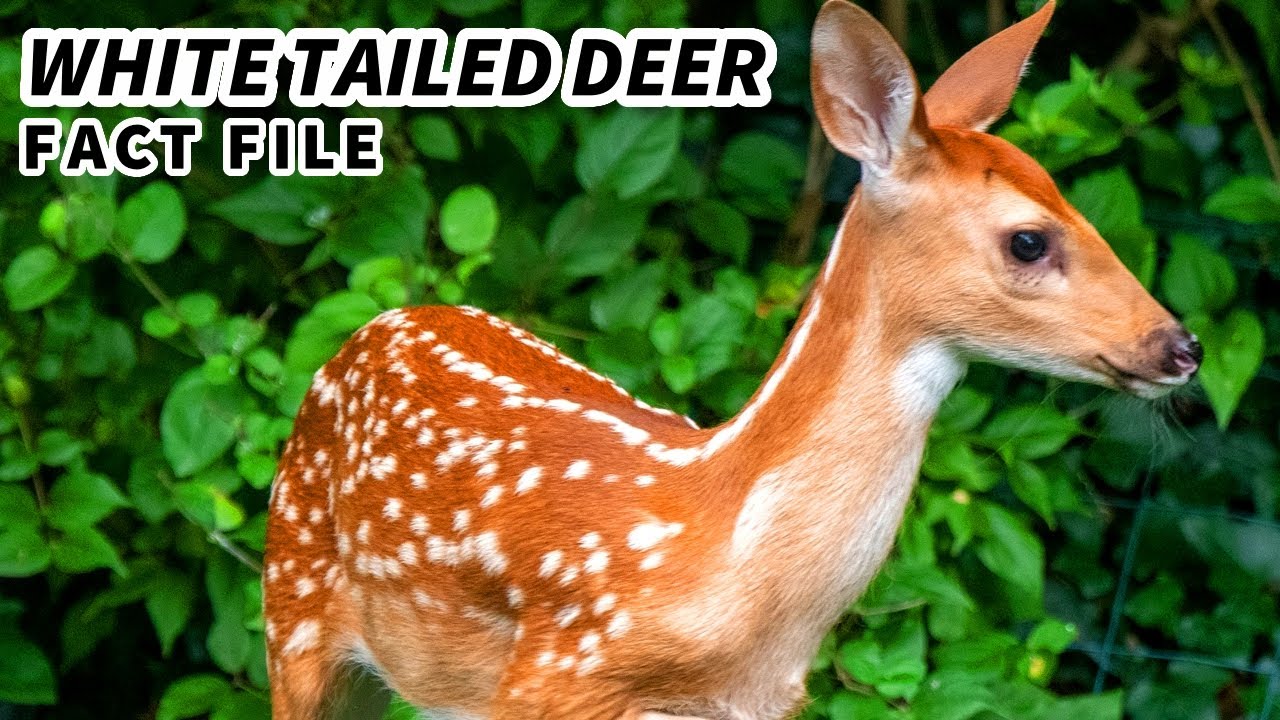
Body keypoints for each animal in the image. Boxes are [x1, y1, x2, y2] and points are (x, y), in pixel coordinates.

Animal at [263, 1, 1203, 718]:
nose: (1180, 346)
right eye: (1029, 239)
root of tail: (379, 322)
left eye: (1071, 198)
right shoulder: (550, 678)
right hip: (293, 606)